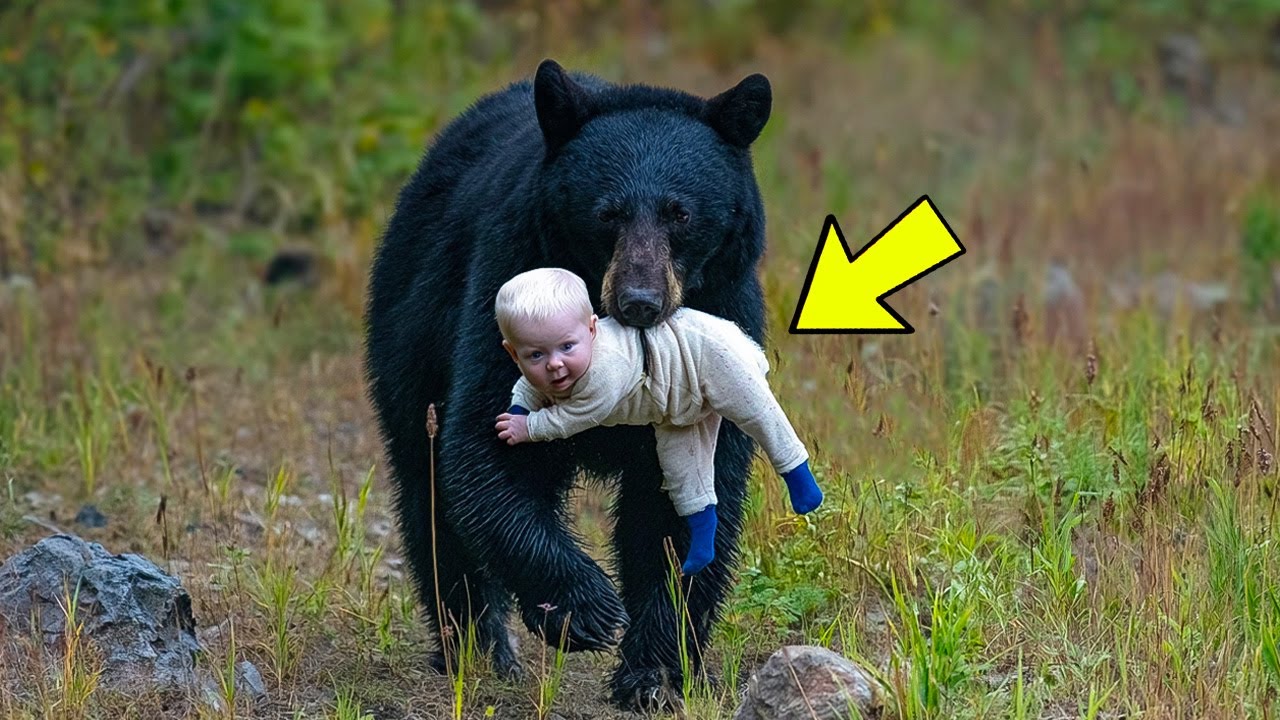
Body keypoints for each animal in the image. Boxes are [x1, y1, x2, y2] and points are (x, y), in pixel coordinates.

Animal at [362, 58, 772, 711]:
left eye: (679, 212)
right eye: (607, 213)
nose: (639, 301)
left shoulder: (722, 321)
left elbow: (681, 506)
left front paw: (653, 673)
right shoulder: (507, 281)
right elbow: (486, 446)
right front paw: (586, 608)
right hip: (412, 334)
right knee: (430, 499)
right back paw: (477, 648)